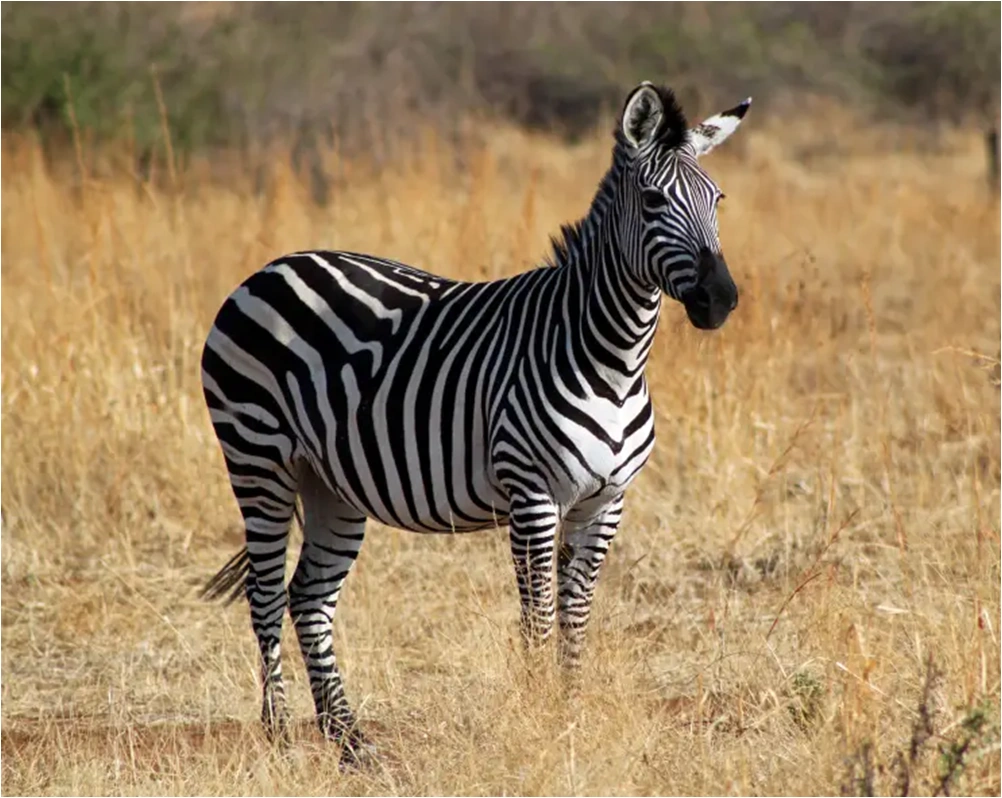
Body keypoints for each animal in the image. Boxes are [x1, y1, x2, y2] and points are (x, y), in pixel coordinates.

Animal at [201, 82, 750, 764]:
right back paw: (278, 735)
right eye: (652, 202)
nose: (721, 300)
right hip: (258, 459)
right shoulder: (533, 495)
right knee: (267, 591)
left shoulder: (606, 501)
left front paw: (569, 713)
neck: (614, 359)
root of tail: (272, 267)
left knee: (309, 596)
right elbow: (538, 615)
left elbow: (576, 613)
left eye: (718, 199)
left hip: (330, 483)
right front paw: (540, 720)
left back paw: (349, 741)